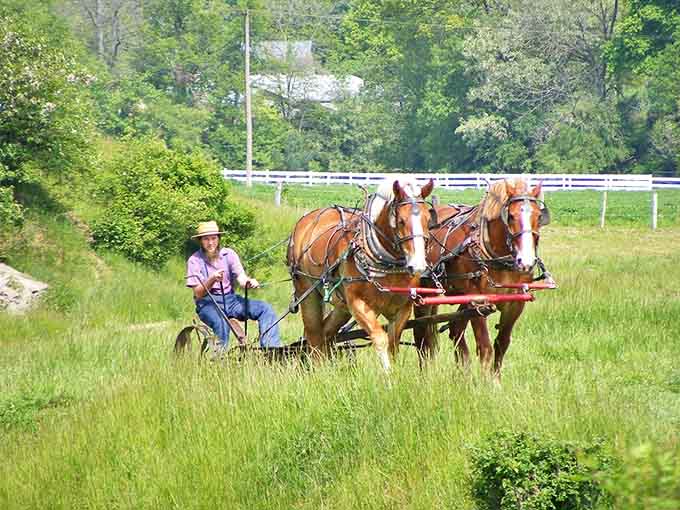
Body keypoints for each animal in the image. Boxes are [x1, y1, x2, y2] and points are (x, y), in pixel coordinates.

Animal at [287, 177, 434, 371]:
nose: (417, 265)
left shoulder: (403, 309)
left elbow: (393, 344)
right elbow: (380, 338)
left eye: (428, 219)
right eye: (401, 221)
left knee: (325, 332)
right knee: (314, 335)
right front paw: (388, 375)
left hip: (342, 306)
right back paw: (319, 370)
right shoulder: (358, 304)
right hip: (307, 293)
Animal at [413, 178, 551, 379]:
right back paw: (425, 374)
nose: (525, 260)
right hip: (425, 294)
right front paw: (488, 383)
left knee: (455, 329)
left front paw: (496, 379)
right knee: (422, 334)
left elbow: (502, 344)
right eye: (510, 216)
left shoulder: (515, 304)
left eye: (539, 216)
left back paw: (465, 373)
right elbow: (485, 347)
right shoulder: (479, 302)